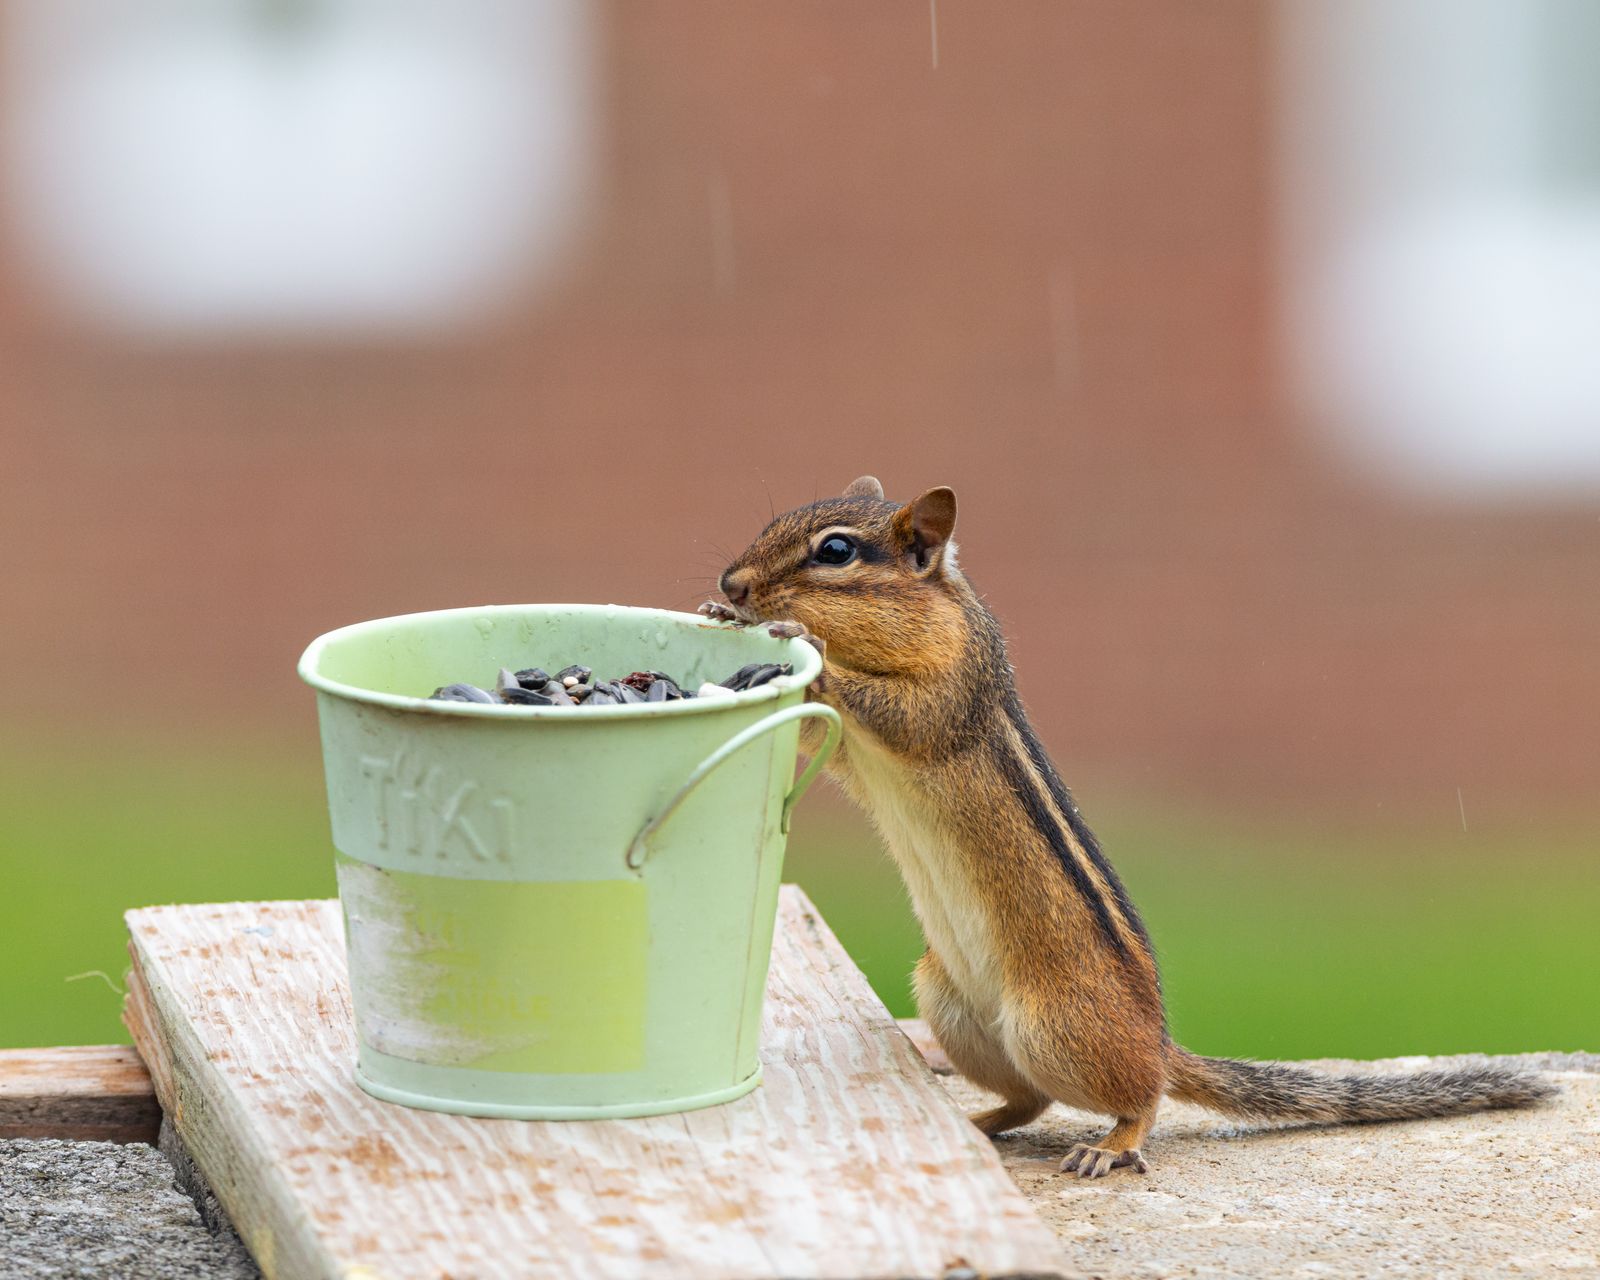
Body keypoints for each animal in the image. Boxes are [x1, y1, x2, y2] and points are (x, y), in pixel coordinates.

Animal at [700, 475, 1555, 1178]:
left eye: (836, 551)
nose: (730, 581)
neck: (937, 613)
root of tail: (1159, 1038)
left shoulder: (946, 696)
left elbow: (893, 709)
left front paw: (799, 641)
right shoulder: (852, 756)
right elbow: (832, 746)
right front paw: (720, 618)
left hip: (1057, 1029)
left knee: (1139, 1097)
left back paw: (1112, 1143)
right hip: (950, 1003)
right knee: (1030, 1101)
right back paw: (979, 1122)